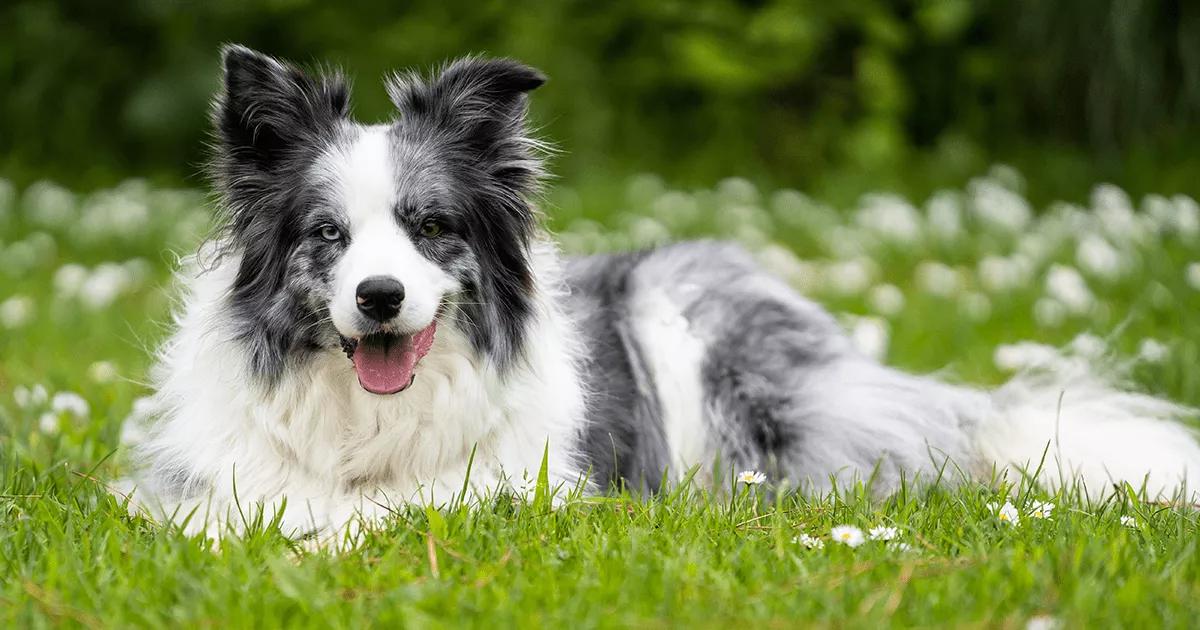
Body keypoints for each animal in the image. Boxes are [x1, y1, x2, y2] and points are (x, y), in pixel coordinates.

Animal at [124, 45, 1200, 535]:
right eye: (328, 236)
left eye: (431, 227)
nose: (381, 297)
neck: (366, 428)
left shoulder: (519, 487)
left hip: (691, 328)